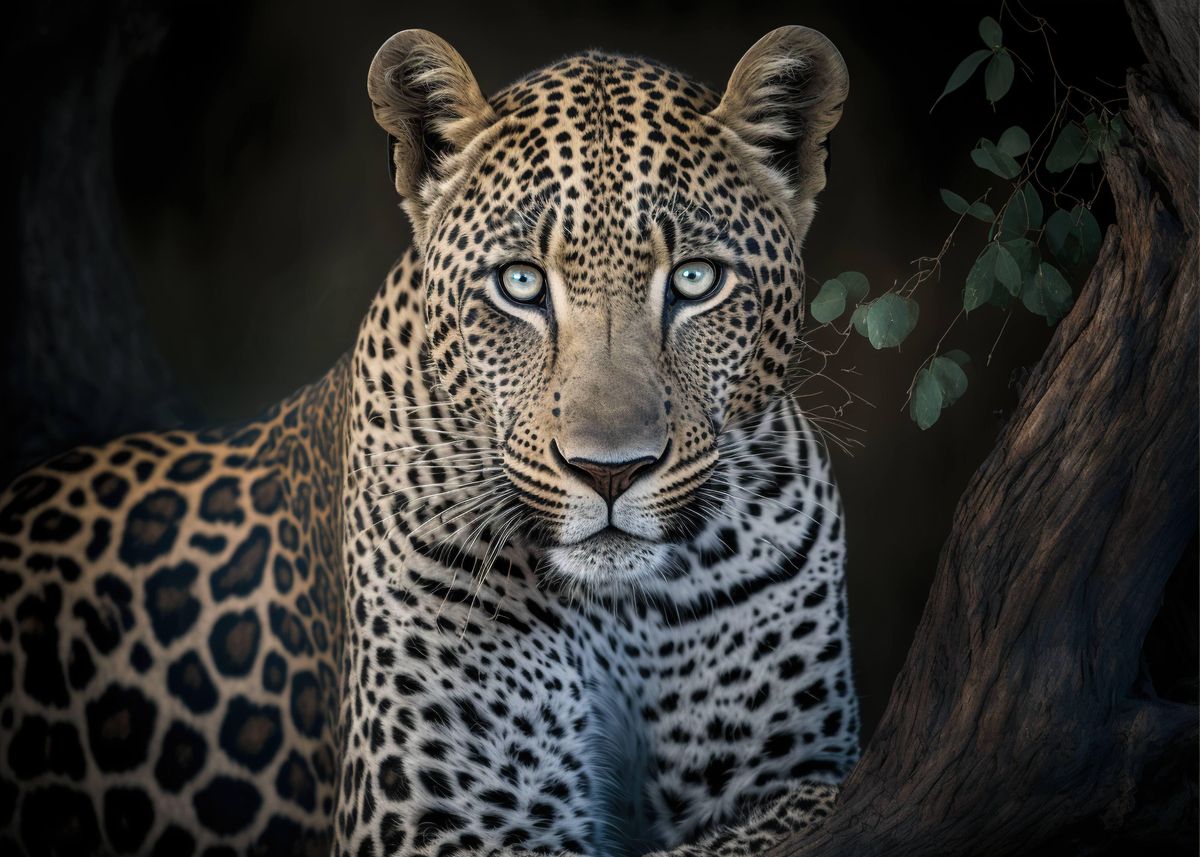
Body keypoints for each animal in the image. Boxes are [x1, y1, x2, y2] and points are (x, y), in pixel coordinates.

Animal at [0, 25, 857, 857]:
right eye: (520, 284)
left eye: (695, 280)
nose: (609, 472)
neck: (625, 610)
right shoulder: (430, 820)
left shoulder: (789, 751)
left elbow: (781, 805)